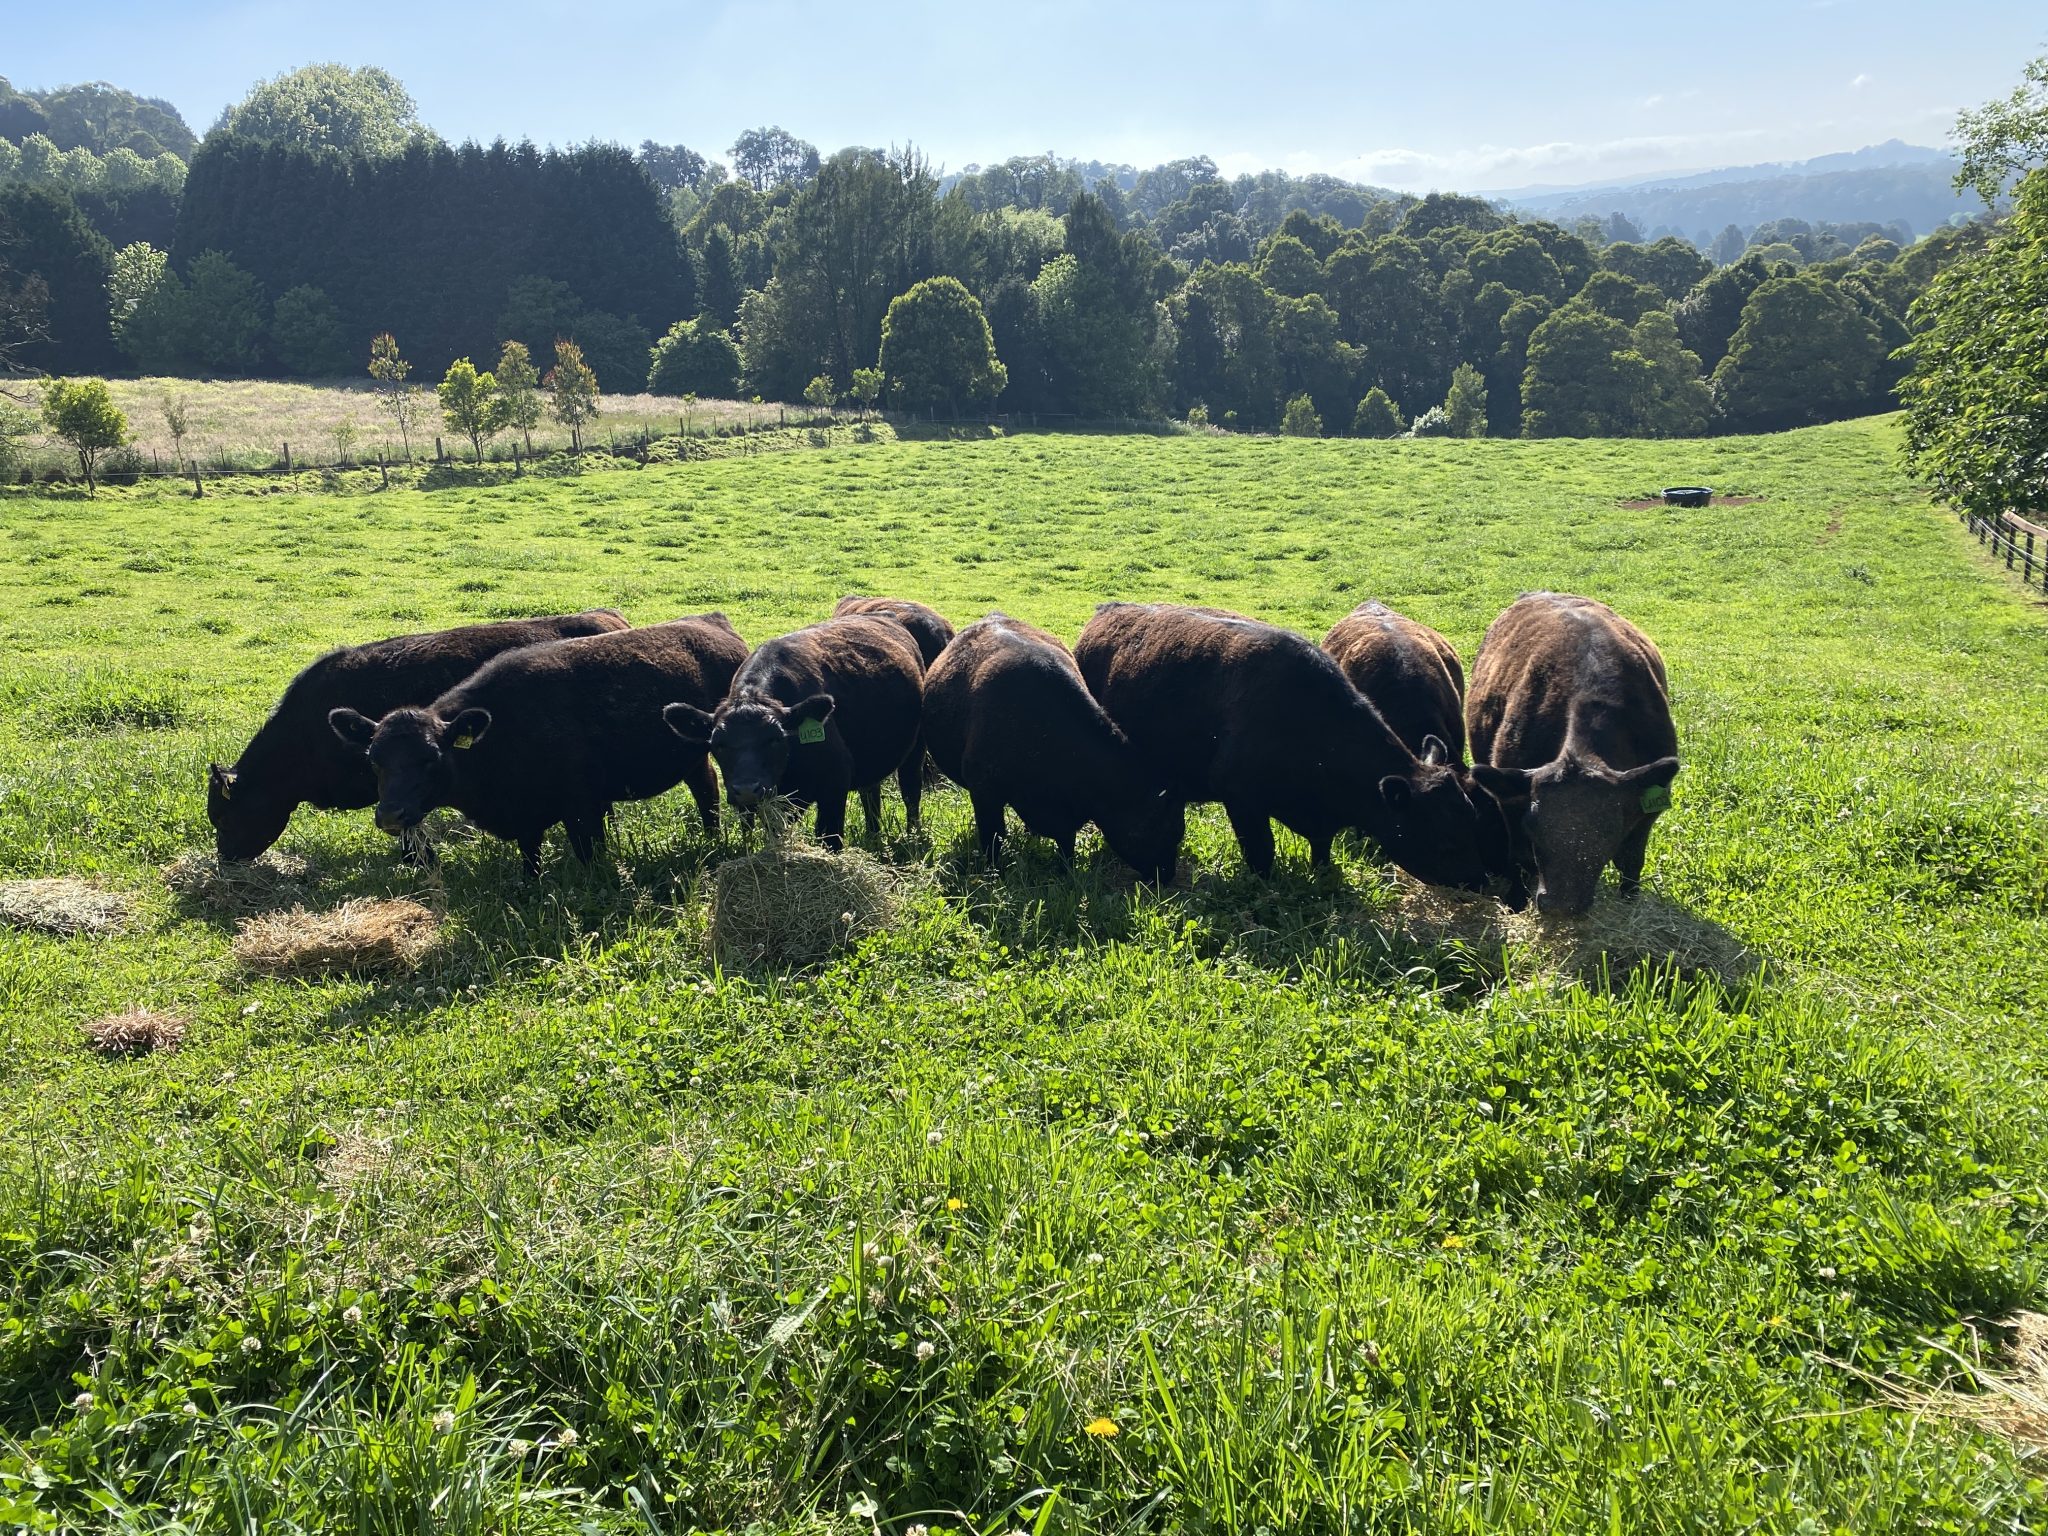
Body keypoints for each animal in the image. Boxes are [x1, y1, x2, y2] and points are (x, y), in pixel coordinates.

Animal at [326, 615, 747, 878]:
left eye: (431, 758)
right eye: (374, 760)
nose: (390, 815)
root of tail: (710, 622)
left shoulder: (583, 807)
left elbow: (591, 860)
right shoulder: (526, 818)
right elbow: (530, 862)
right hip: (692, 756)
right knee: (705, 785)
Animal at [662, 615, 924, 850]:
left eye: (775, 739)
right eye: (718, 744)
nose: (746, 790)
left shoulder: (834, 785)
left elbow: (830, 840)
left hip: (915, 750)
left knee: (911, 791)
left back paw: (912, 838)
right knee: (871, 792)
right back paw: (873, 834)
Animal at [923, 614, 1183, 882]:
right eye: (1168, 830)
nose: (1167, 875)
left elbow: (1066, 843)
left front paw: (1066, 872)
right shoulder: (985, 793)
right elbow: (993, 838)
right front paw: (994, 875)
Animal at [1074, 602, 1495, 889]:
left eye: (1472, 818)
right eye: (1443, 840)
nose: (1478, 879)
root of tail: (1109, 610)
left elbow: (1322, 848)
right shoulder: (1242, 799)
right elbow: (1261, 852)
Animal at [1465, 593, 1680, 917]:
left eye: (1610, 831)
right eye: (1532, 825)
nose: (1561, 904)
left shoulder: (1647, 810)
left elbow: (1631, 861)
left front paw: (1630, 901)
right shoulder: (1510, 801)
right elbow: (1519, 856)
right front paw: (1515, 901)